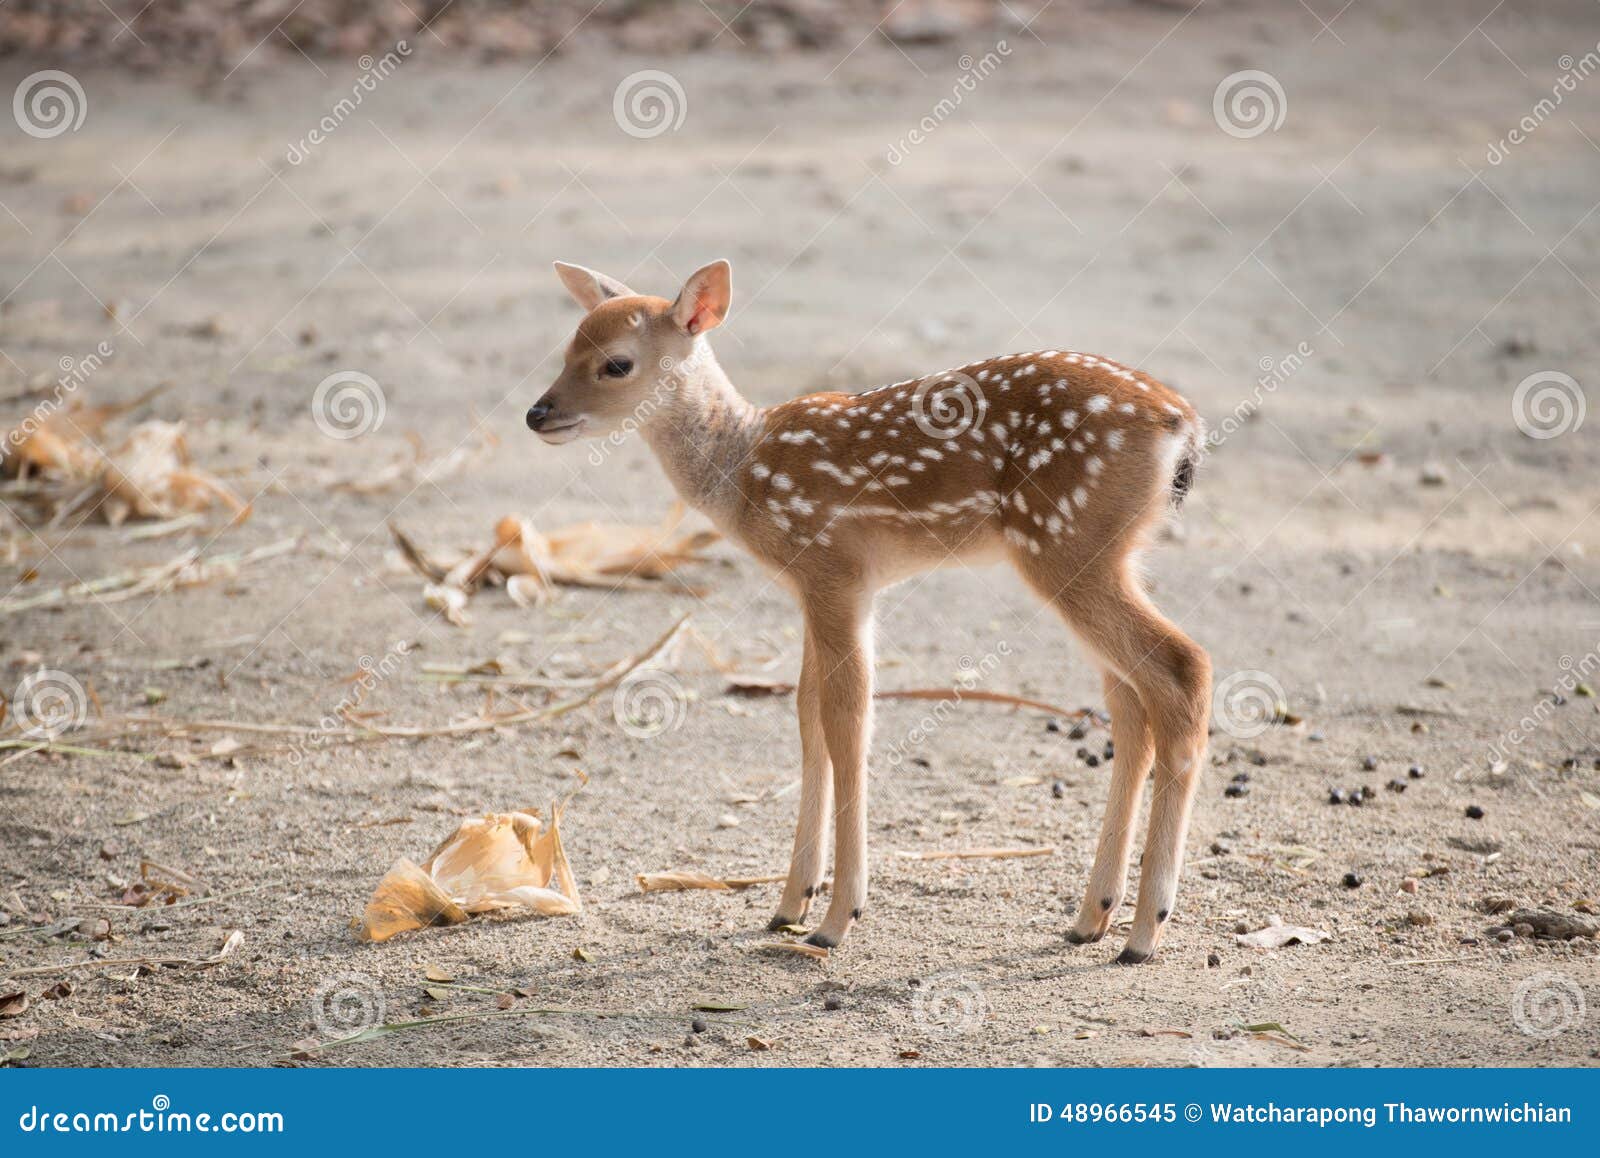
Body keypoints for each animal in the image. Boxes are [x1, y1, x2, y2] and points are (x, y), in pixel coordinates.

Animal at [528, 259, 1211, 964]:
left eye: (616, 363)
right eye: (567, 347)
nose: (536, 413)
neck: (743, 469)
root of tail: (1182, 425)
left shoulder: (838, 572)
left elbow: (847, 720)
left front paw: (836, 919)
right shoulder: (812, 587)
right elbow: (807, 715)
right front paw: (789, 904)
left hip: (1066, 542)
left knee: (1182, 668)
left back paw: (1143, 933)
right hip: (1106, 554)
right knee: (1131, 700)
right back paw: (1091, 917)